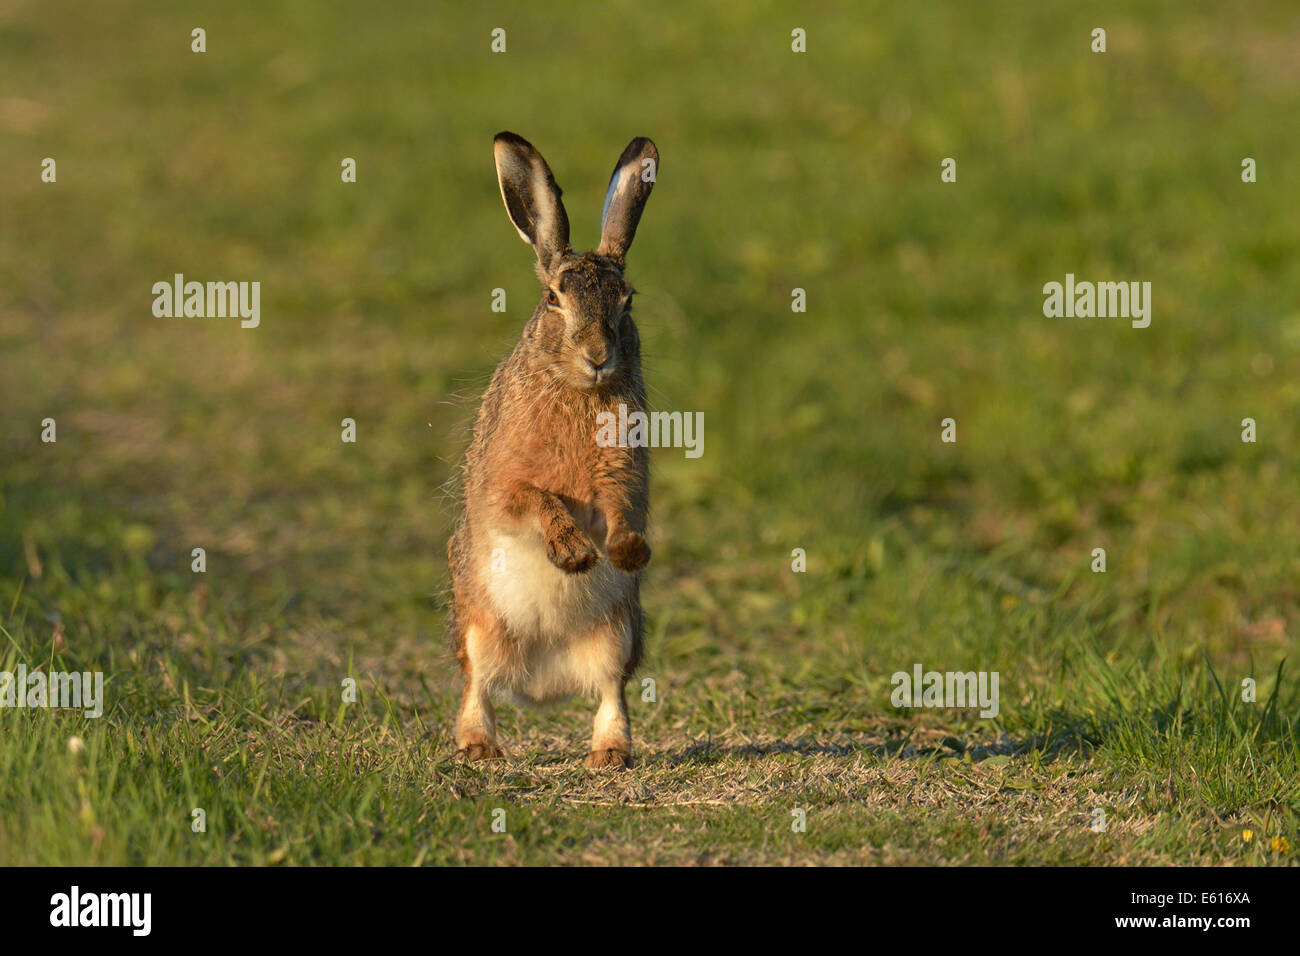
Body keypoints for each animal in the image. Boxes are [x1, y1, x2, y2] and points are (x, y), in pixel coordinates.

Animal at [446, 131, 658, 769]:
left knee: (610, 691)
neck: (577, 389)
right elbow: (536, 500)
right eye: (552, 298)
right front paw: (572, 553)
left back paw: (609, 754)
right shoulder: (504, 484)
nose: (597, 355)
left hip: (617, 634)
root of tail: (542, 687)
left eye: (627, 301)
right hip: (477, 627)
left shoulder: (623, 478)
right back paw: (479, 748)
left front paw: (626, 551)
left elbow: (619, 510)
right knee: (477, 687)